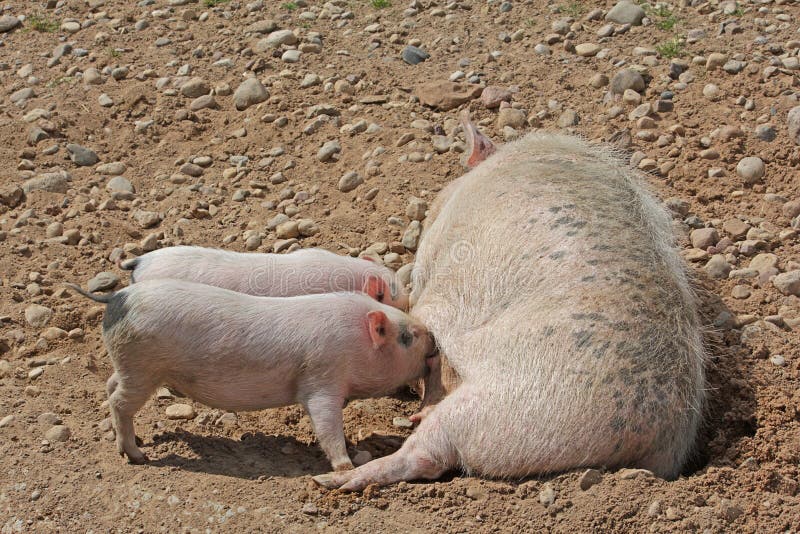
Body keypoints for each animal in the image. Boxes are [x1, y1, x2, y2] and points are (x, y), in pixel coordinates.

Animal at [67, 280, 433, 470]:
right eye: (406, 337)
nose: (432, 337)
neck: (354, 342)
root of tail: (117, 297)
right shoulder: (321, 377)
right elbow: (326, 424)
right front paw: (348, 466)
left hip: (128, 364)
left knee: (111, 385)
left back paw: (138, 442)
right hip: (143, 366)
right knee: (119, 401)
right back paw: (138, 455)